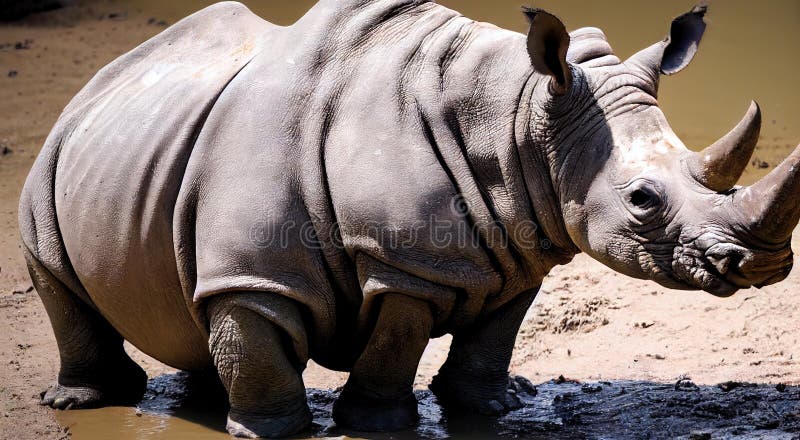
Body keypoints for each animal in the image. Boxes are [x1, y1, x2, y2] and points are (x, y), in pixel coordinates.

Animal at [19, 0, 800, 437]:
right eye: (643, 201)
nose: (764, 263)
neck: (515, 120)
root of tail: (108, 75)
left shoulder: (515, 242)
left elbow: (492, 333)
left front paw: (491, 409)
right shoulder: (339, 267)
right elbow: (392, 335)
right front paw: (295, 432)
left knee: (200, 302)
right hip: (56, 158)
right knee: (62, 270)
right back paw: (82, 402)